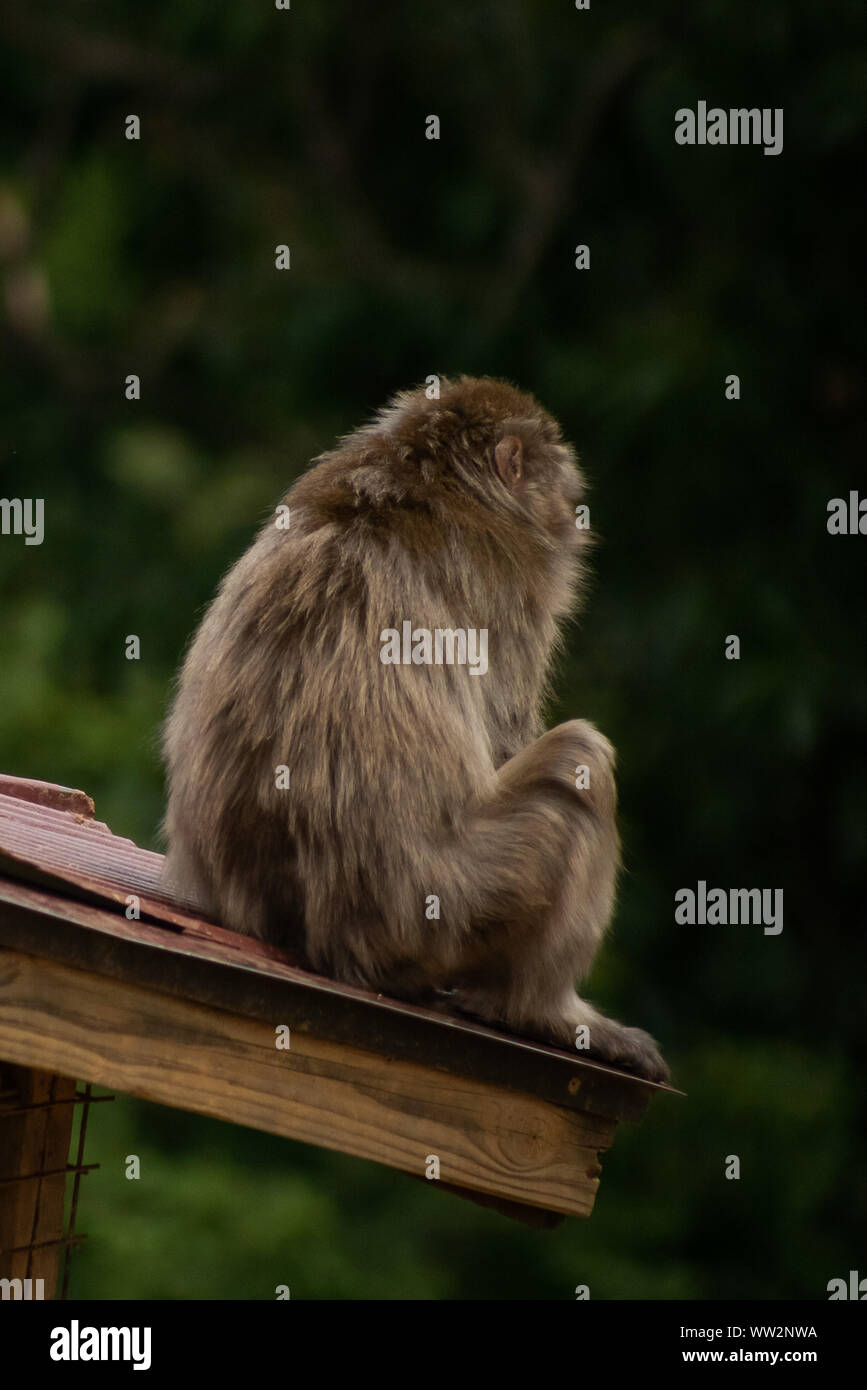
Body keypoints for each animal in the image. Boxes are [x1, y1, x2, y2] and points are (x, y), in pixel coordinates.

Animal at [161, 376, 668, 1083]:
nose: (574, 514)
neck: (430, 476)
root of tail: (332, 940)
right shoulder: (515, 580)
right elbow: (509, 733)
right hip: (451, 907)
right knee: (577, 769)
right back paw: (543, 1012)